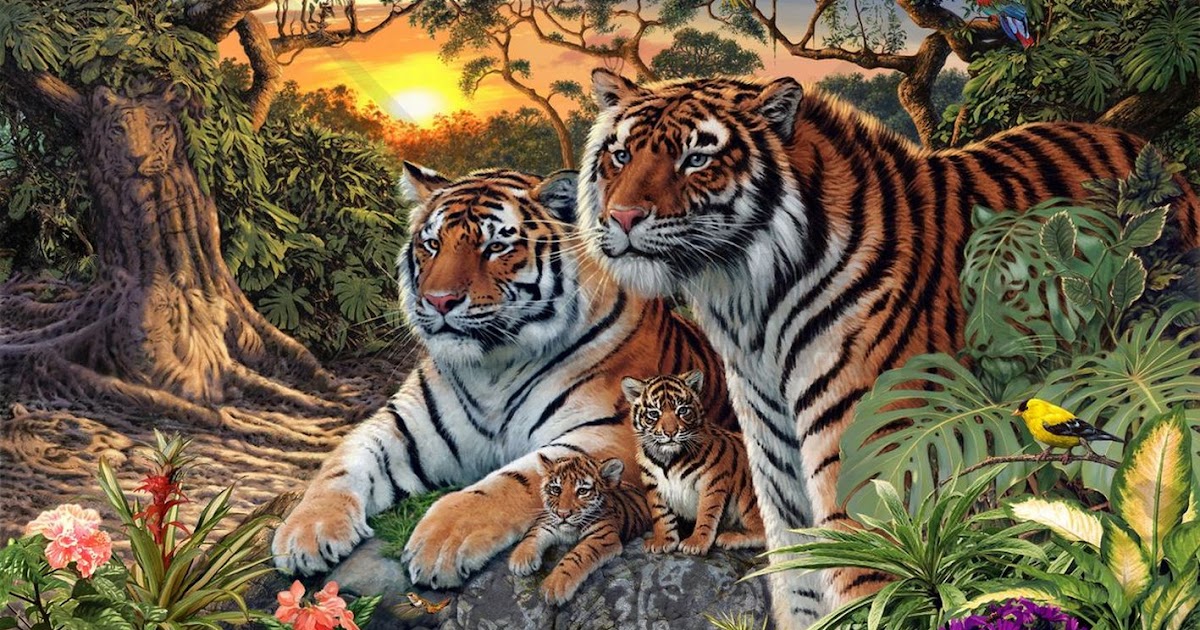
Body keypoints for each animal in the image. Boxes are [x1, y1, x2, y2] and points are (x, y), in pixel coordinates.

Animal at [508, 453, 651, 604]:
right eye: (556, 489)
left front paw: (555, 585)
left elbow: (577, 556)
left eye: (582, 491)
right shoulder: (548, 522)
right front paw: (520, 559)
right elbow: (532, 535)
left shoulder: (601, 536)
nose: (563, 514)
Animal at [622, 370, 765, 555]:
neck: (667, 459)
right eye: (654, 413)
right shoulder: (653, 485)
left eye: (682, 410)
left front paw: (696, 542)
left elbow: (706, 513)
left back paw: (731, 538)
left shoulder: (713, 481)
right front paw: (663, 540)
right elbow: (661, 515)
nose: (671, 433)